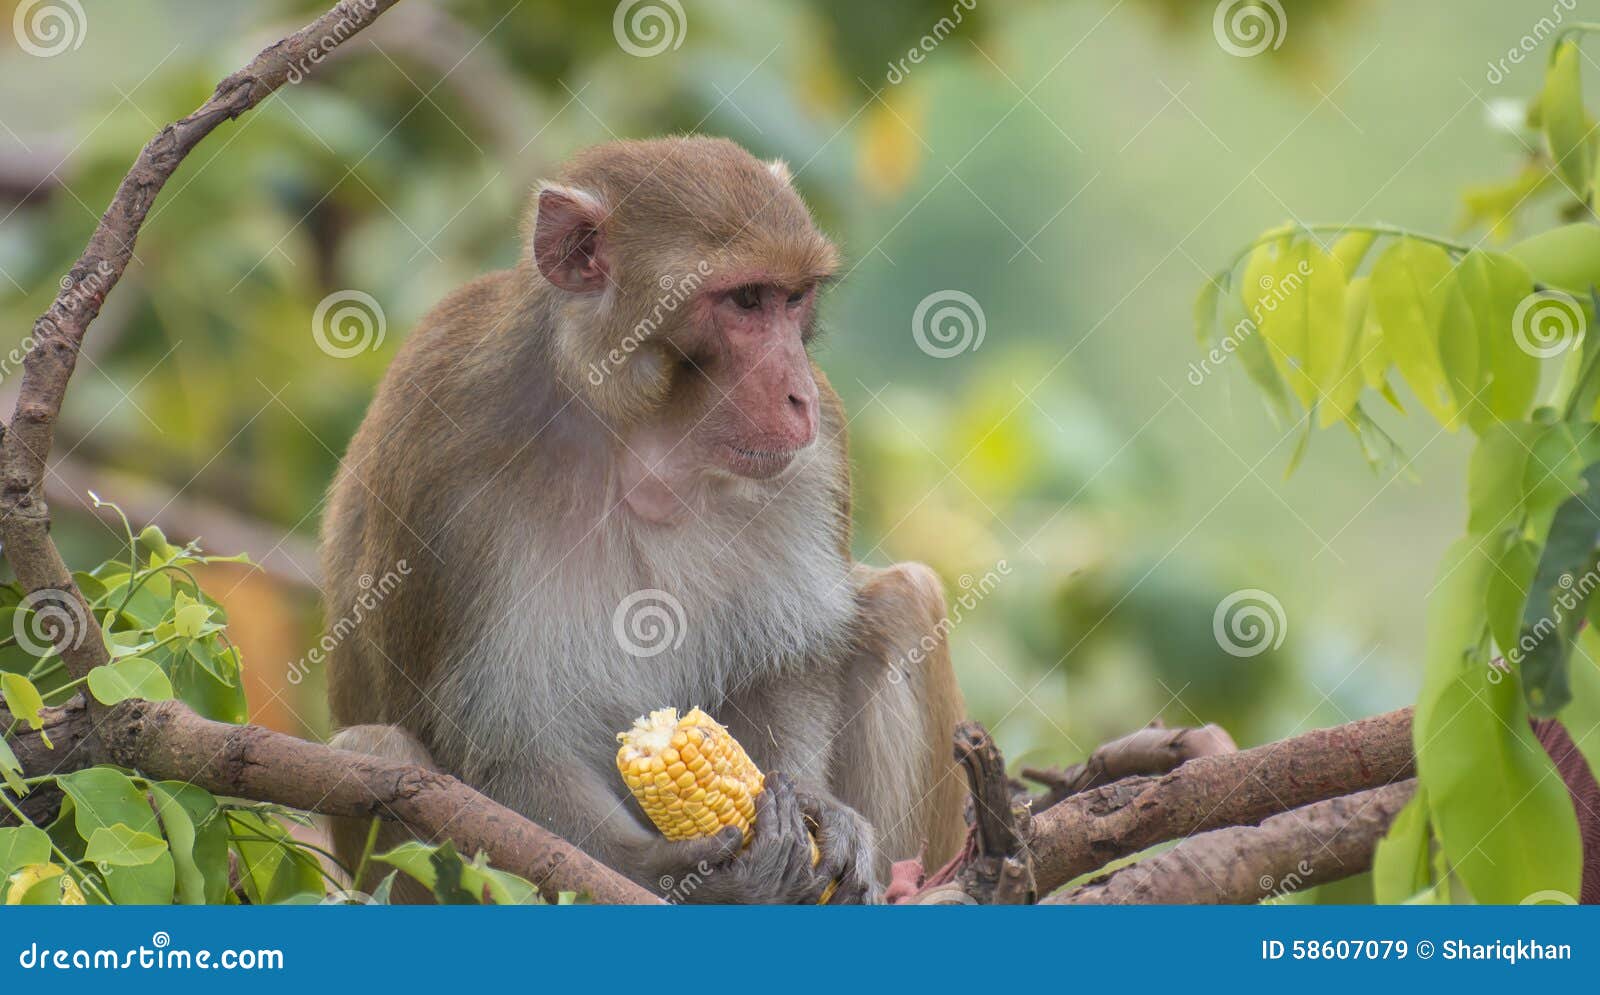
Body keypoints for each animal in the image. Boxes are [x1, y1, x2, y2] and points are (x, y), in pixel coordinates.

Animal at [321, 135, 967, 904]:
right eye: (745, 300)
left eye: (793, 298)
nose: (799, 395)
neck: (635, 435)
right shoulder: (440, 454)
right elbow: (506, 750)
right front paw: (700, 877)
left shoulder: (816, 460)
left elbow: (785, 665)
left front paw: (820, 810)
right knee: (373, 747)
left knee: (903, 598)